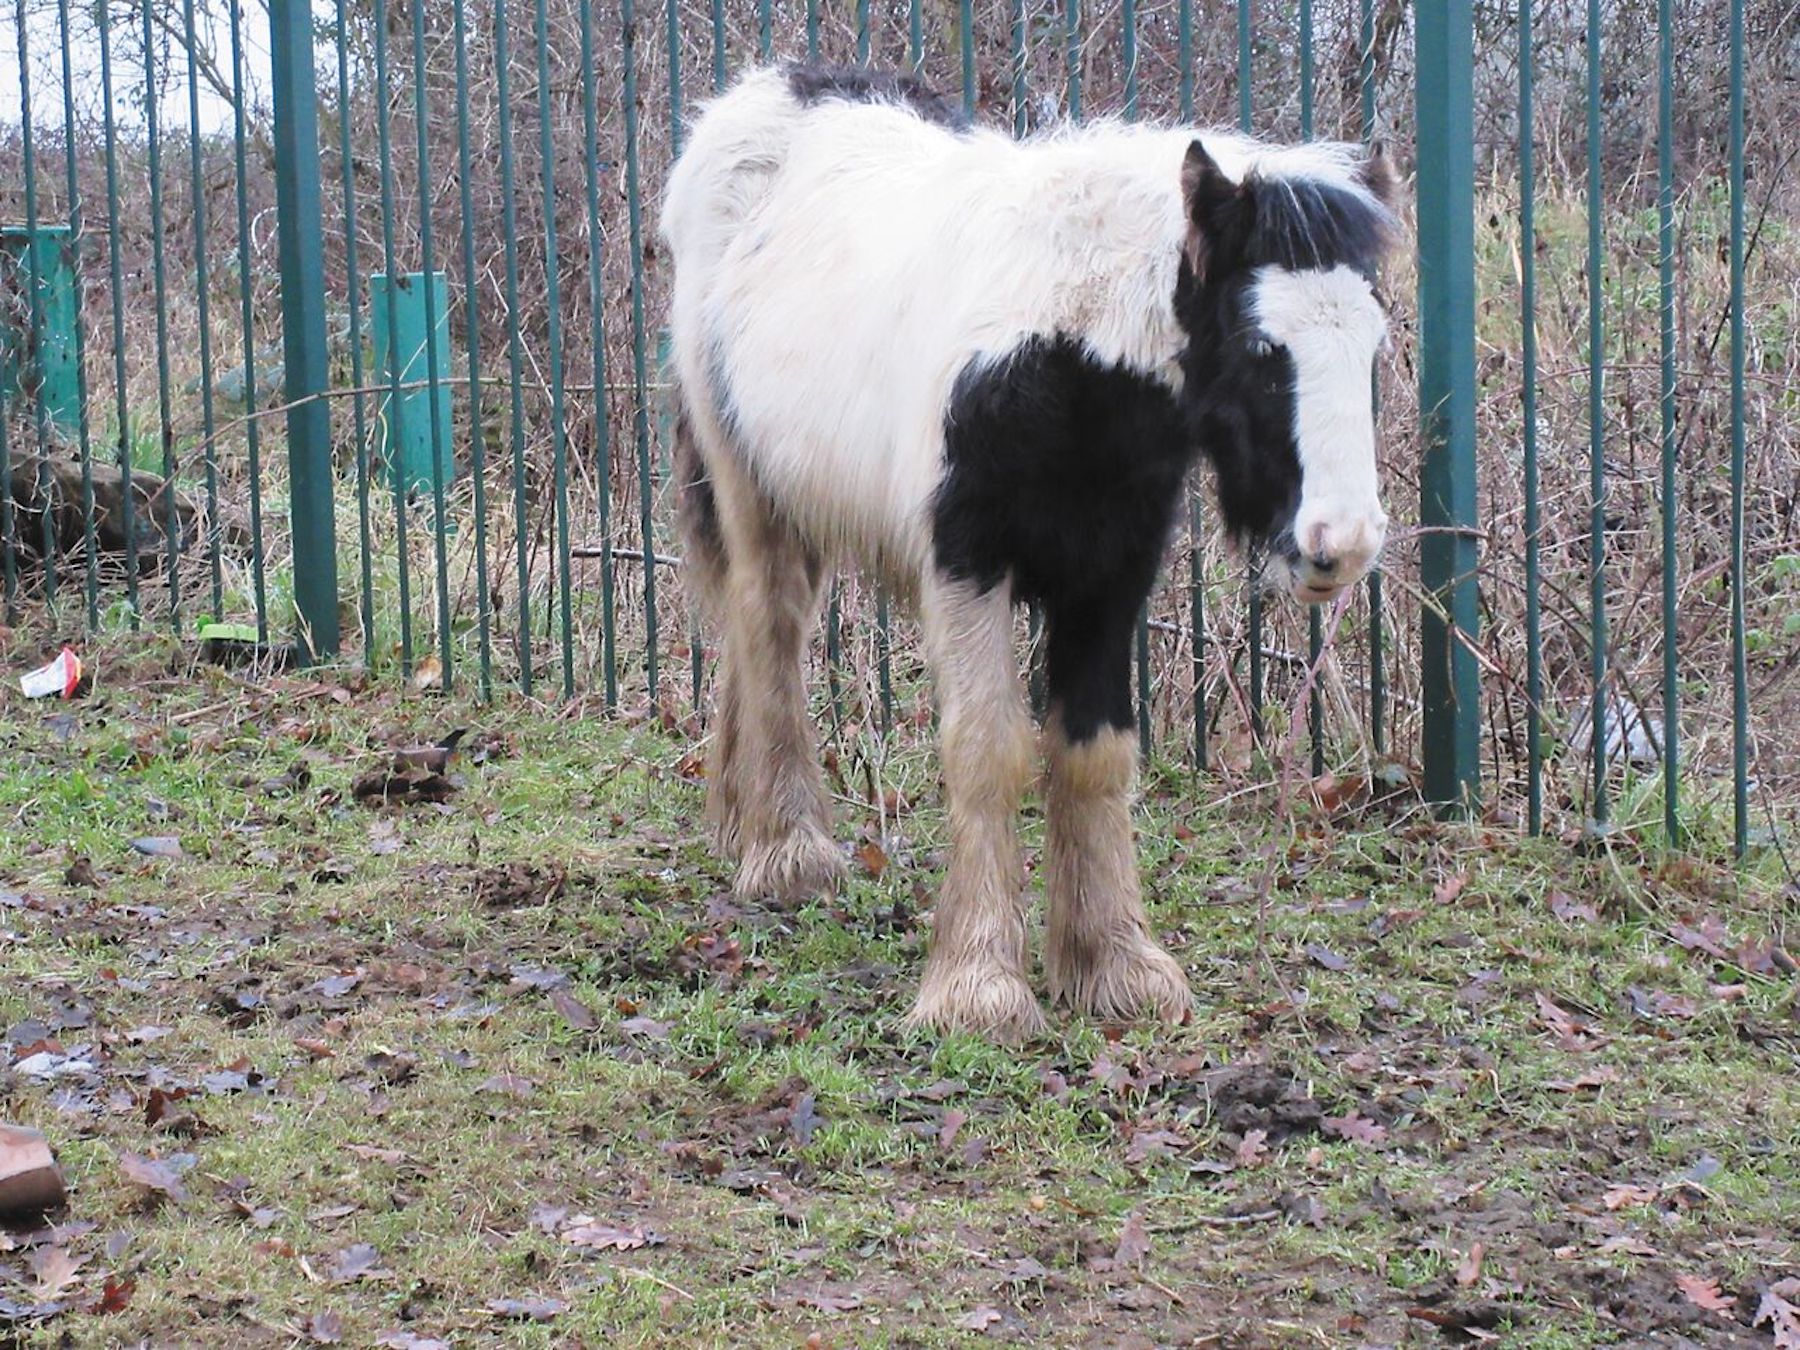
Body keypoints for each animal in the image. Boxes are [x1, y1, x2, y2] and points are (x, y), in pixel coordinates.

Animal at [660, 63, 1400, 1040]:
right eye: (1257, 349)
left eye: (1374, 344)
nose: (1340, 544)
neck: (1064, 344)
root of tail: (758, 95)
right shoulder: (967, 561)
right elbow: (989, 749)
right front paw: (977, 986)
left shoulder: (1111, 575)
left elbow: (1094, 753)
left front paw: (1114, 964)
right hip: (745, 481)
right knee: (768, 623)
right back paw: (789, 852)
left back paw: (740, 816)